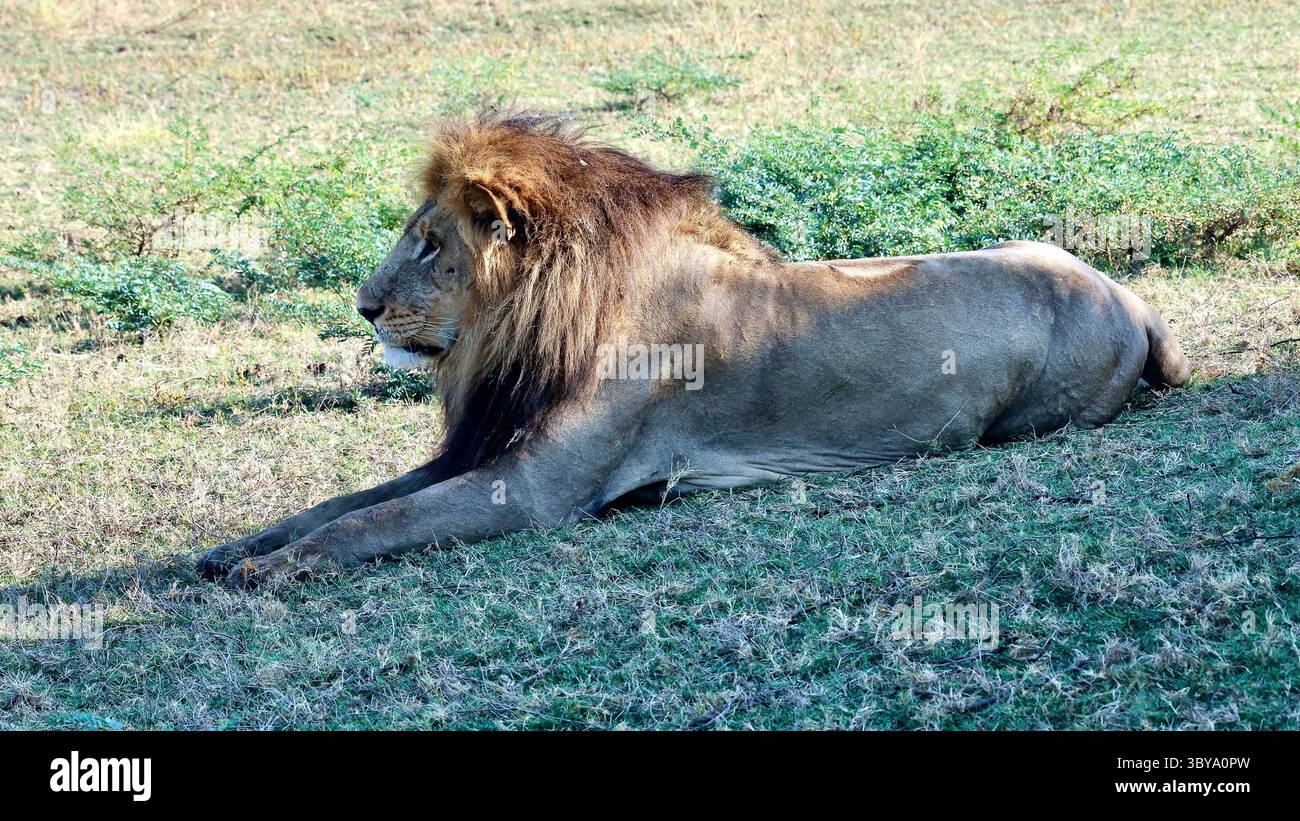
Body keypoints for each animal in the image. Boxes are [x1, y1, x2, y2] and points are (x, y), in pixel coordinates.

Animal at [197, 111, 1191, 587]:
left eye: (431, 243)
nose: (363, 307)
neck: (517, 326)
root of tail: (1127, 292)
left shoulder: (536, 488)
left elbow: (376, 521)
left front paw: (265, 571)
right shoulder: (487, 443)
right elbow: (346, 500)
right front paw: (229, 550)